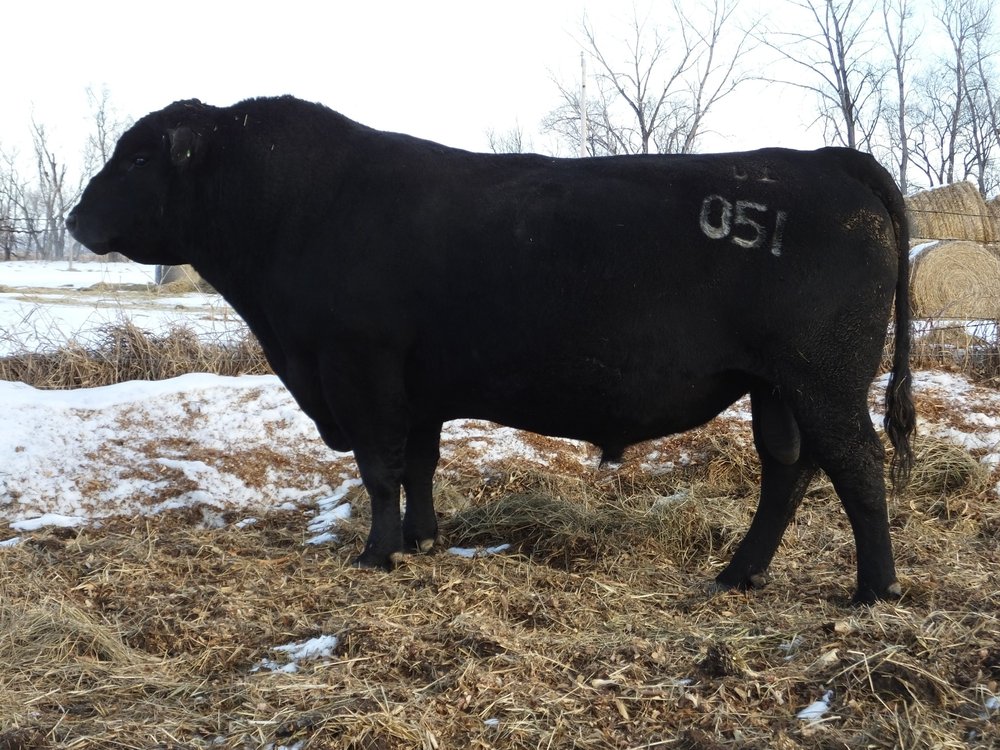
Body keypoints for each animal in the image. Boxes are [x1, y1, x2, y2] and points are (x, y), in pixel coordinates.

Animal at [67, 96, 915, 604]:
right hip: (775, 385)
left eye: (137, 157)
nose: (75, 218)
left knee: (857, 465)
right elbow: (417, 466)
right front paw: (423, 540)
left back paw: (874, 590)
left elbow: (378, 470)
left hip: (823, 378)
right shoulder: (418, 389)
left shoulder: (359, 366)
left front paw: (376, 554)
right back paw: (739, 574)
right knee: (788, 469)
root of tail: (823, 157)